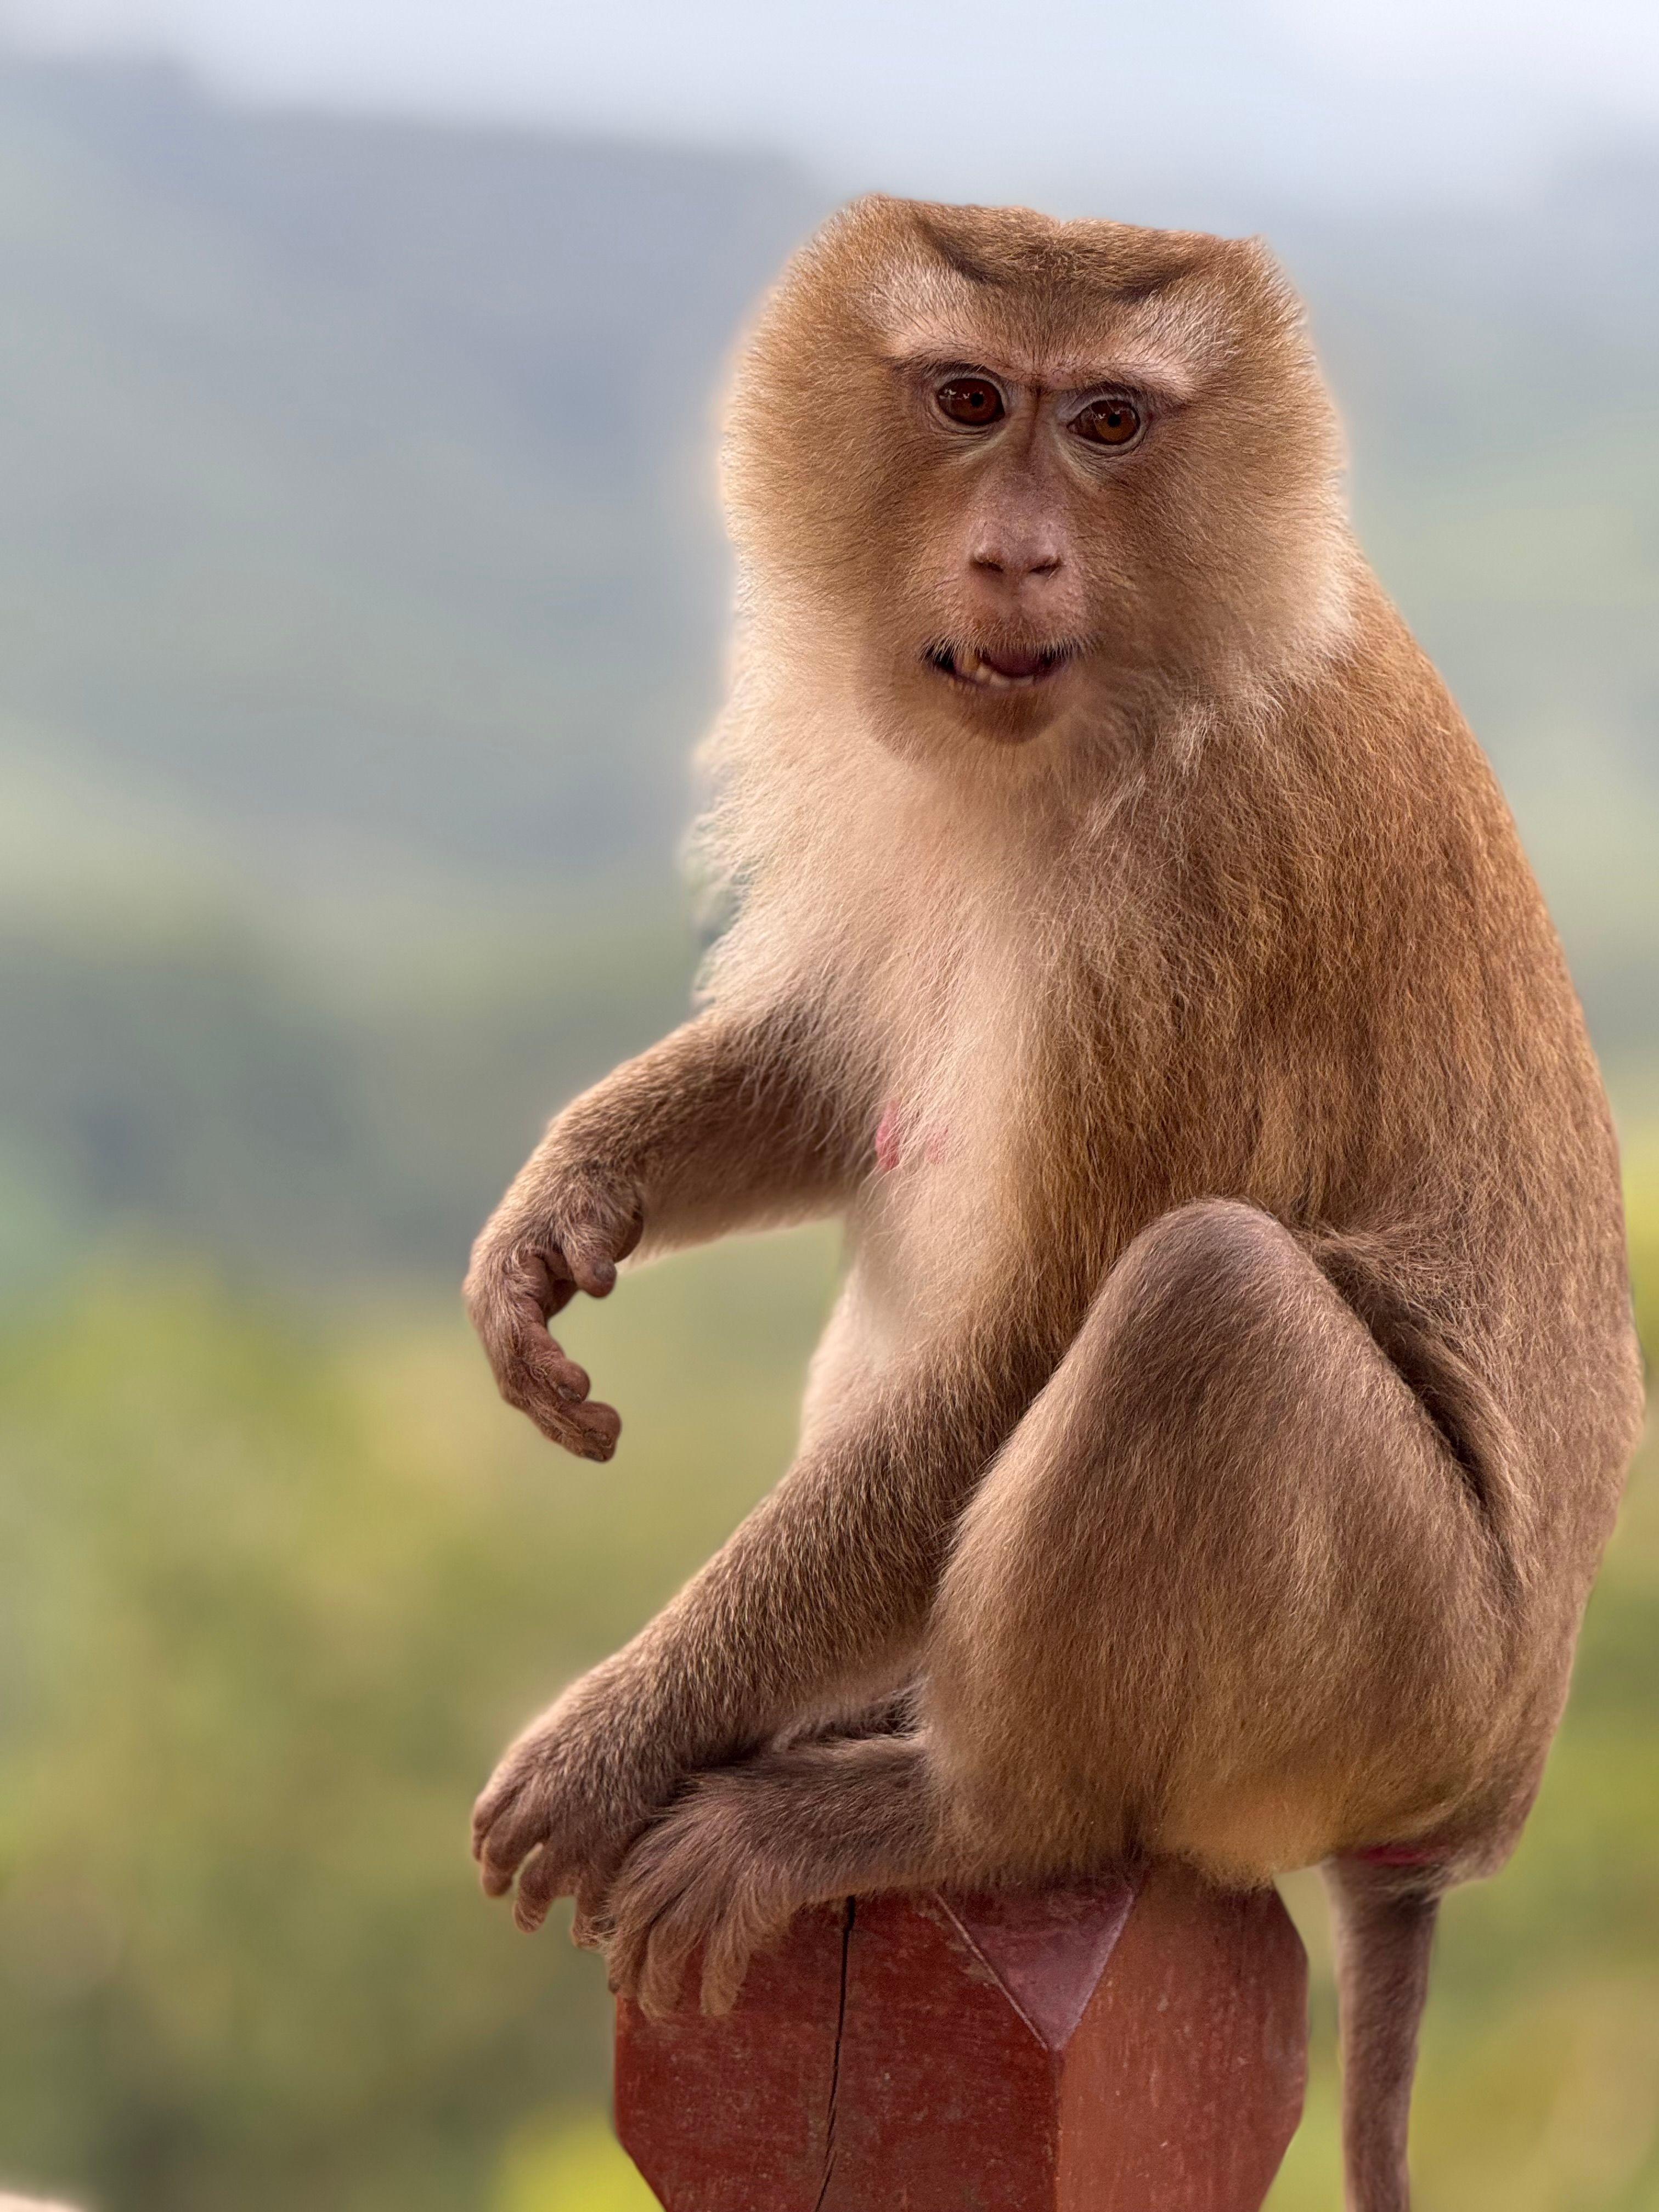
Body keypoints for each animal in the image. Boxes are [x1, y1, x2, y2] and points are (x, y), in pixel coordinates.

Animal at [463, 196, 1645, 2212]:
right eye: (964, 399)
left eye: (1106, 422)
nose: (1014, 551)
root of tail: (1473, 1809)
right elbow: (840, 1081)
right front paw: (562, 1205)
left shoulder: (1202, 899)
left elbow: (1028, 1337)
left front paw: (623, 1734)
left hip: (1396, 1686)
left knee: (1205, 1301)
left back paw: (961, 1806)